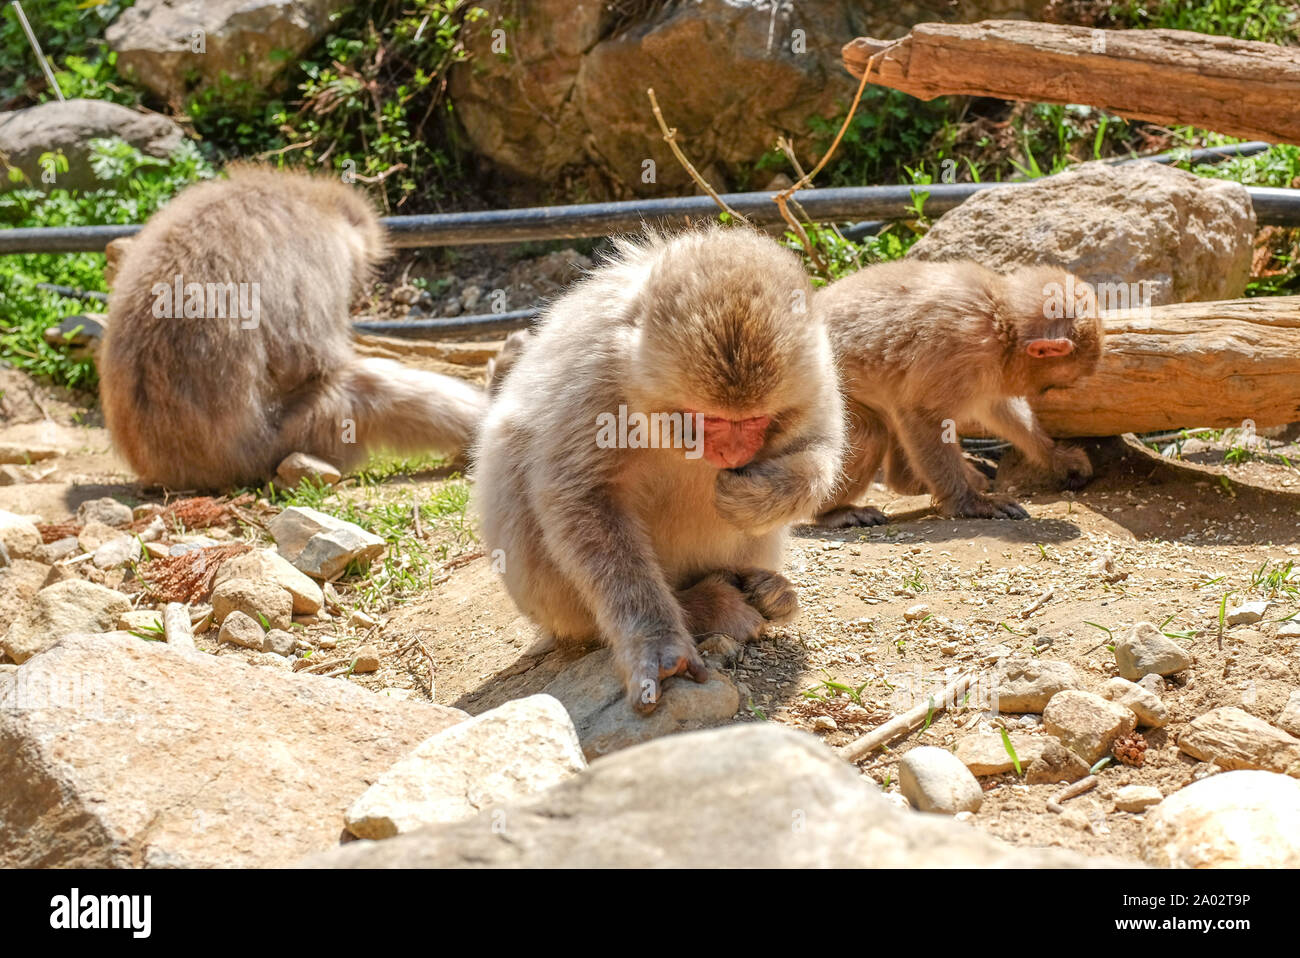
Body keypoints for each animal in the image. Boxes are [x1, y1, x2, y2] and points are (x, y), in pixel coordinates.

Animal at [474, 225, 845, 713]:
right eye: (711, 419)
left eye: (753, 421)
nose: (732, 454)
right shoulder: (595, 379)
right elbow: (581, 499)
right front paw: (657, 642)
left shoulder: (817, 371)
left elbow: (821, 447)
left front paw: (757, 497)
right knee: (513, 449)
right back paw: (707, 605)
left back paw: (767, 590)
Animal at [815, 259, 1103, 526]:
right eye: (1050, 387)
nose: (1043, 393)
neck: (999, 317)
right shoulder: (958, 347)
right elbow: (922, 413)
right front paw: (970, 503)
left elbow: (997, 407)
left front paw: (1058, 458)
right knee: (871, 433)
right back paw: (832, 512)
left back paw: (908, 481)